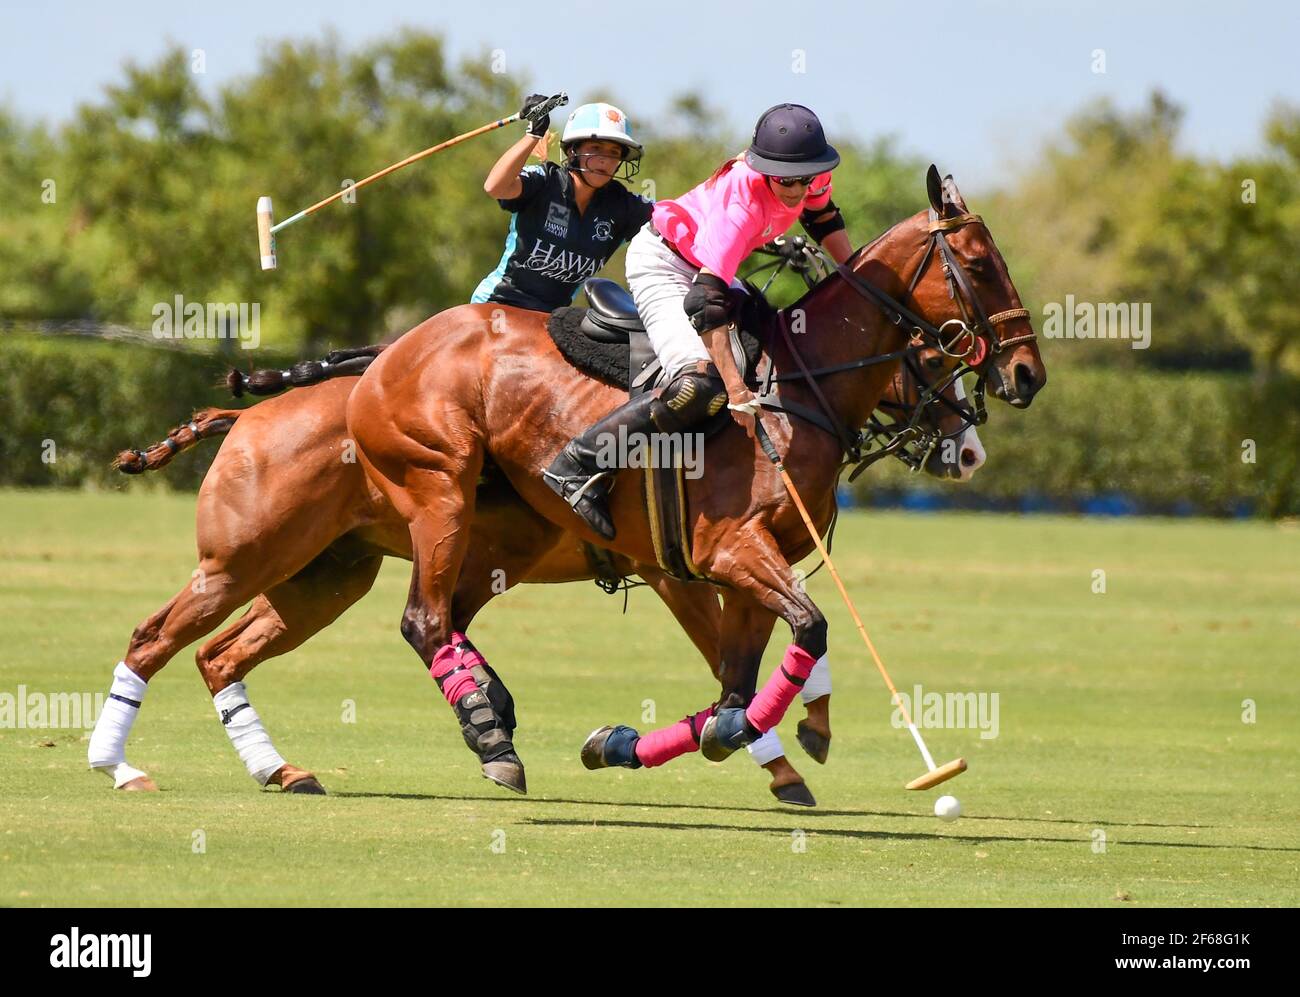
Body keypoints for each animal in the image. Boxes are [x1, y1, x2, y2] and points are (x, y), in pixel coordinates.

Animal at [343, 167, 1045, 784]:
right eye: (981, 267)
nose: (1027, 376)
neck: (795, 391)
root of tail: (392, 350)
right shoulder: (729, 550)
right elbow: (805, 633)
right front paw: (765, 741)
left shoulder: (753, 569)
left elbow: (736, 691)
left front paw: (623, 741)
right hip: (440, 487)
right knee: (424, 619)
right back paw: (492, 739)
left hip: (513, 535)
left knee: (452, 617)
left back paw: (495, 711)